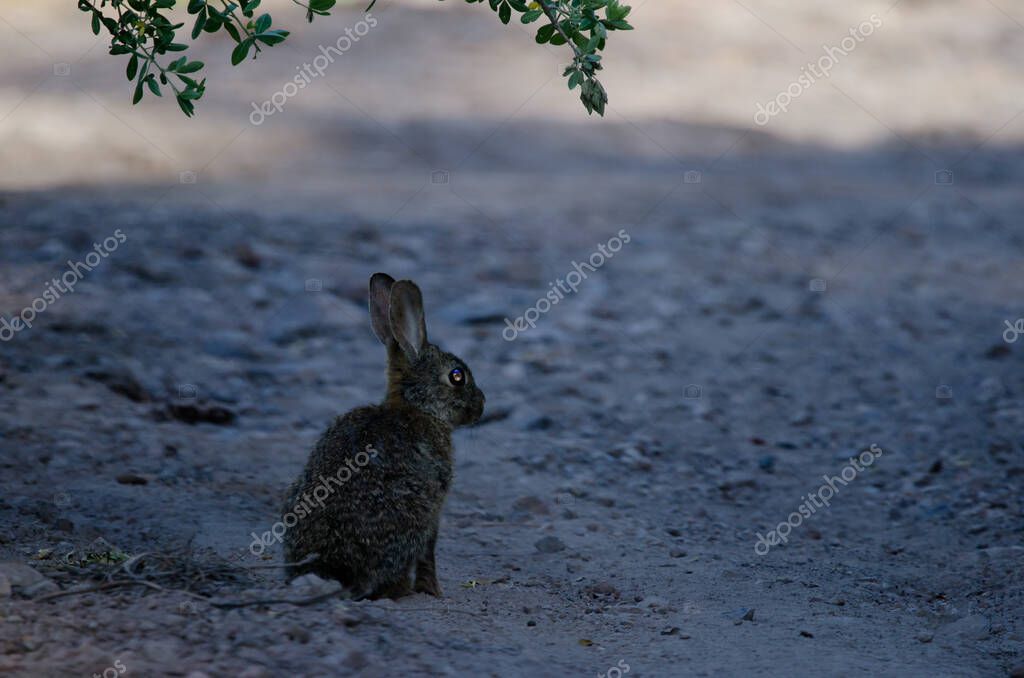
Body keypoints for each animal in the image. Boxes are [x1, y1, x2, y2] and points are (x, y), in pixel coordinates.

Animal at [281, 273, 485, 599]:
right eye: (457, 376)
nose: (481, 406)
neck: (416, 405)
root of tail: (336, 567)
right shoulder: (435, 510)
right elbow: (429, 555)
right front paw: (434, 591)